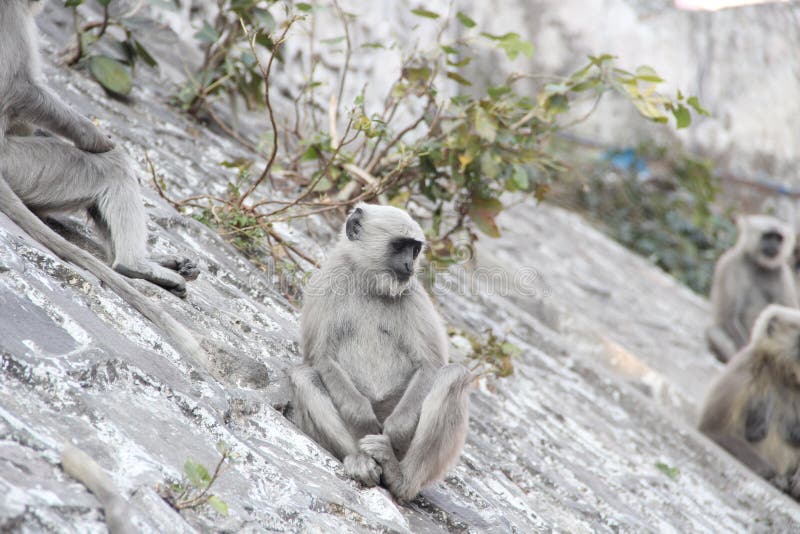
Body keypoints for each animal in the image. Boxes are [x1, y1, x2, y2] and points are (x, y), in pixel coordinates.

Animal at [289, 203, 473, 501]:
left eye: (415, 249)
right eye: (399, 246)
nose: (410, 265)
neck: (369, 283)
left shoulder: (413, 294)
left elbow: (431, 365)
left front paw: (394, 433)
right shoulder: (325, 282)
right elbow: (320, 358)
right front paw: (363, 420)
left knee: (453, 376)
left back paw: (398, 476)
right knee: (303, 375)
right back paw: (361, 460)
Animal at [705, 215, 798, 363]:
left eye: (778, 238)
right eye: (767, 236)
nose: (774, 245)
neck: (760, 265)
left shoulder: (783, 274)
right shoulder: (732, 264)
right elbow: (730, 316)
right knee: (714, 332)